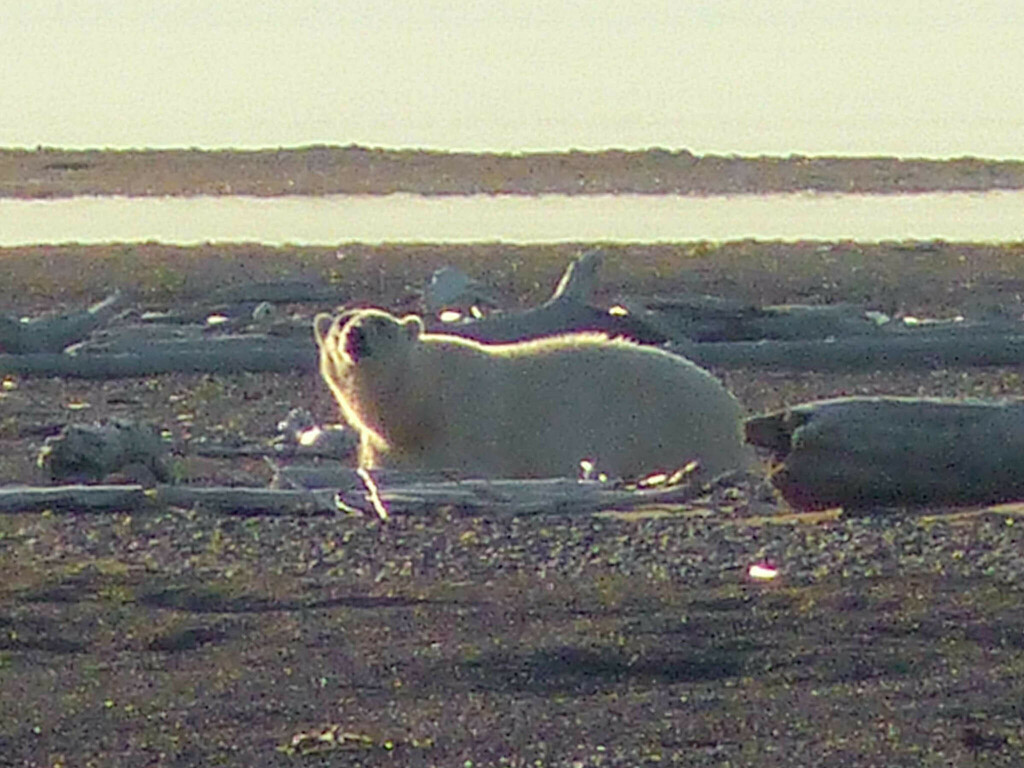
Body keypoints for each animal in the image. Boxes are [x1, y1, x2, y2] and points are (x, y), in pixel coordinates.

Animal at [313, 307, 751, 480]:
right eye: (341, 321)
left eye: (382, 324)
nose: (356, 335)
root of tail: (731, 407)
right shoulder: (385, 446)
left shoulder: (466, 426)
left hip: (672, 432)